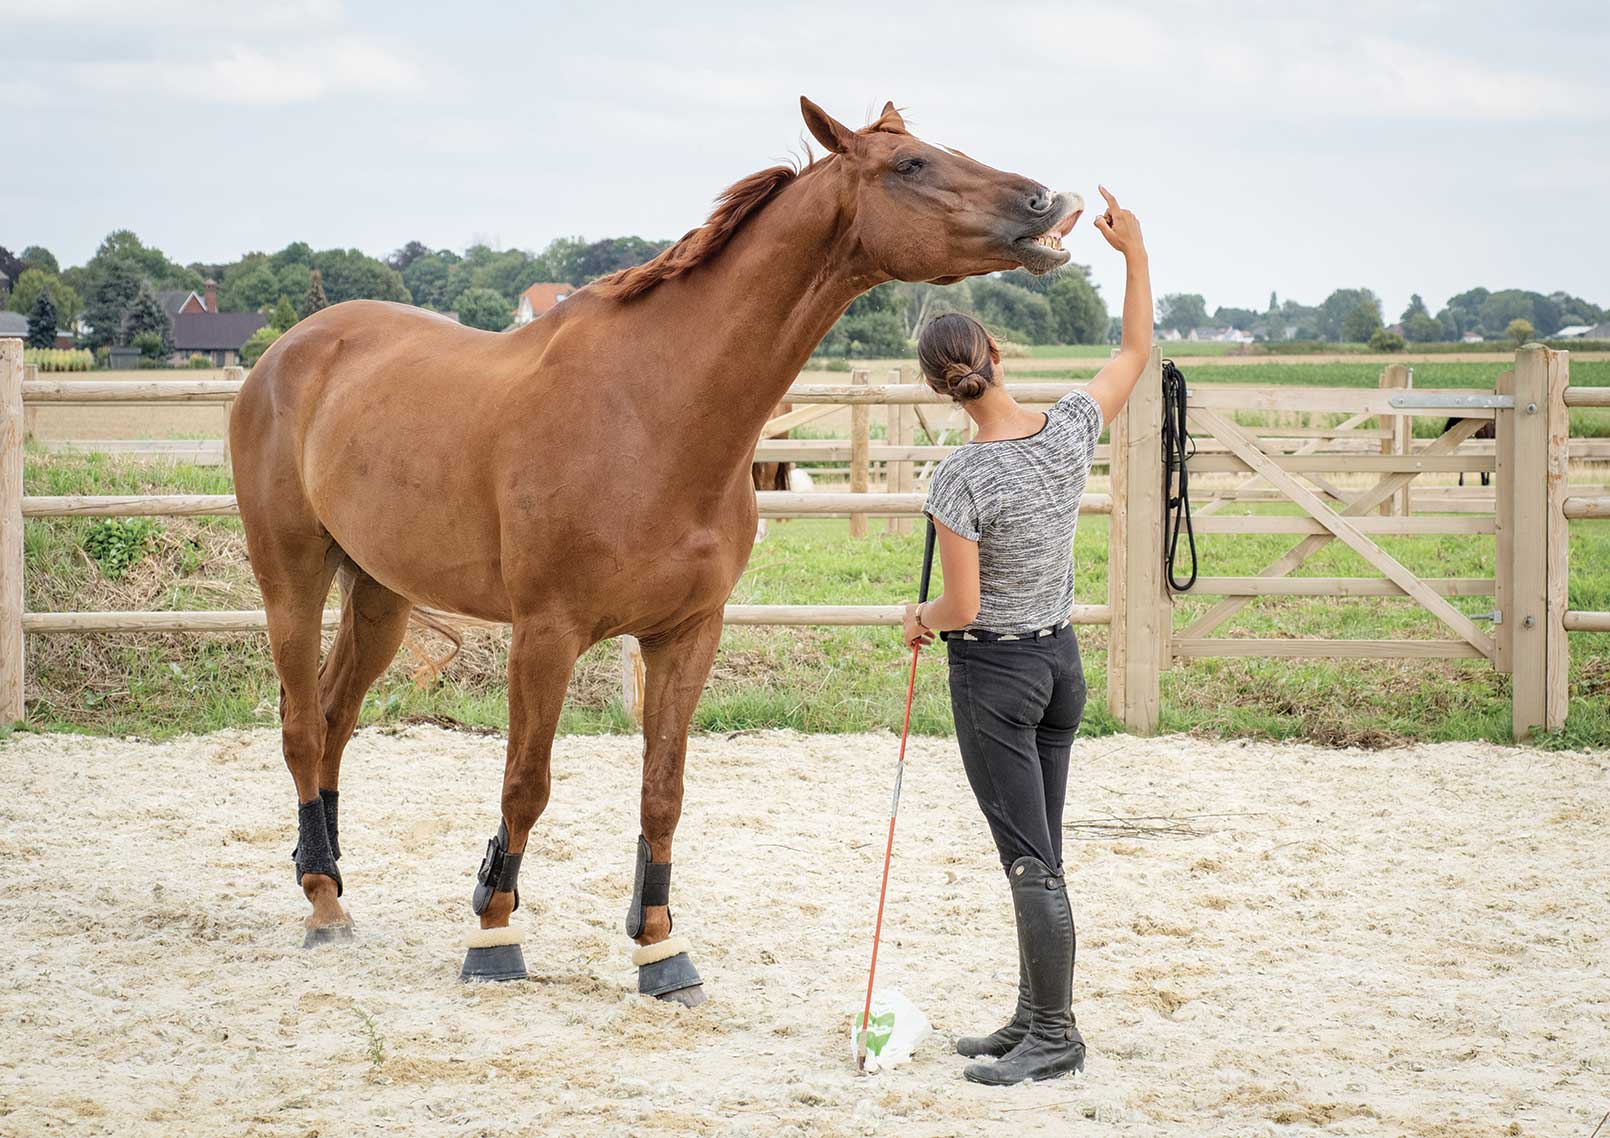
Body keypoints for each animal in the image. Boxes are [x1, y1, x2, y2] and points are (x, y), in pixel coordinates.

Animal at [229, 97, 1081, 1004]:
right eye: (911, 165)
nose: (1045, 202)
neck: (655, 409)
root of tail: (288, 351)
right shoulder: (546, 636)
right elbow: (525, 785)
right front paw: (494, 933)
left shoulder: (686, 634)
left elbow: (662, 792)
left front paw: (660, 949)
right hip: (291, 580)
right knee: (300, 726)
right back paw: (324, 907)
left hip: (380, 594)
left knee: (334, 717)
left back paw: (328, 880)